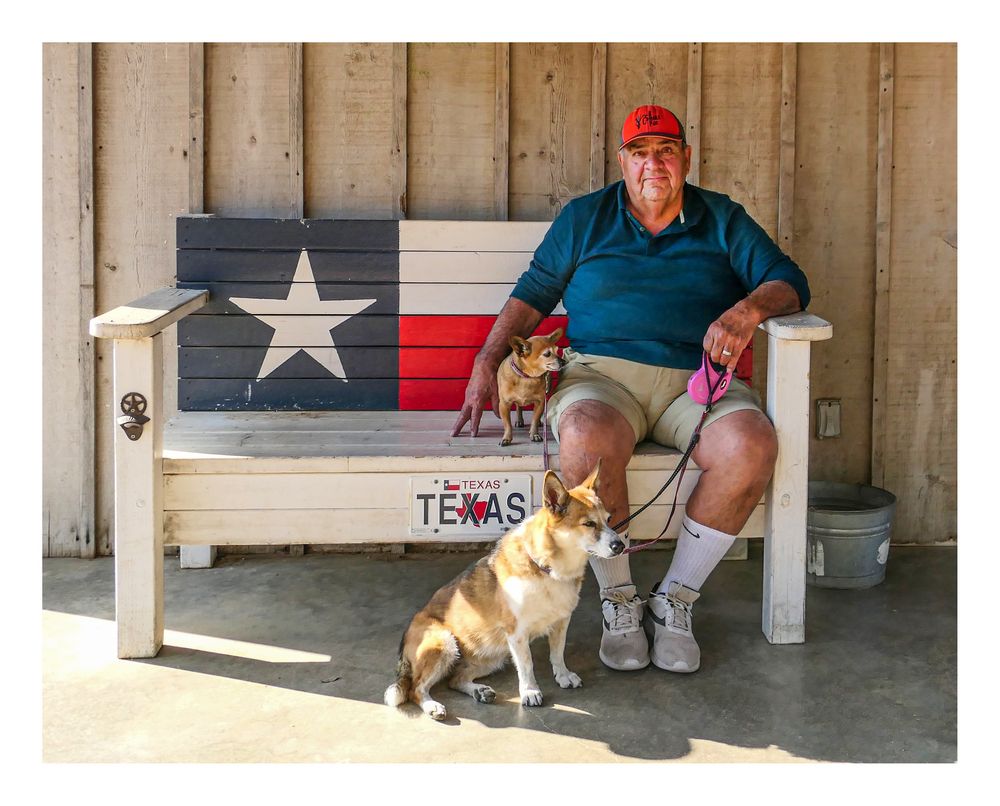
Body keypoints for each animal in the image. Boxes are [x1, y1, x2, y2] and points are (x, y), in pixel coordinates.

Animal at [384, 464, 624, 724]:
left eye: (609, 520)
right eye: (588, 524)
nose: (620, 546)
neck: (547, 567)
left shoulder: (561, 622)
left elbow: (557, 653)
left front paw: (563, 675)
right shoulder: (516, 633)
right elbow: (527, 664)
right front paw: (530, 691)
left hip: (492, 657)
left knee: (454, 680)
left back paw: (479, 692)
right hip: (444, 643)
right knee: (415, 689)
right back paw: (432, 706)